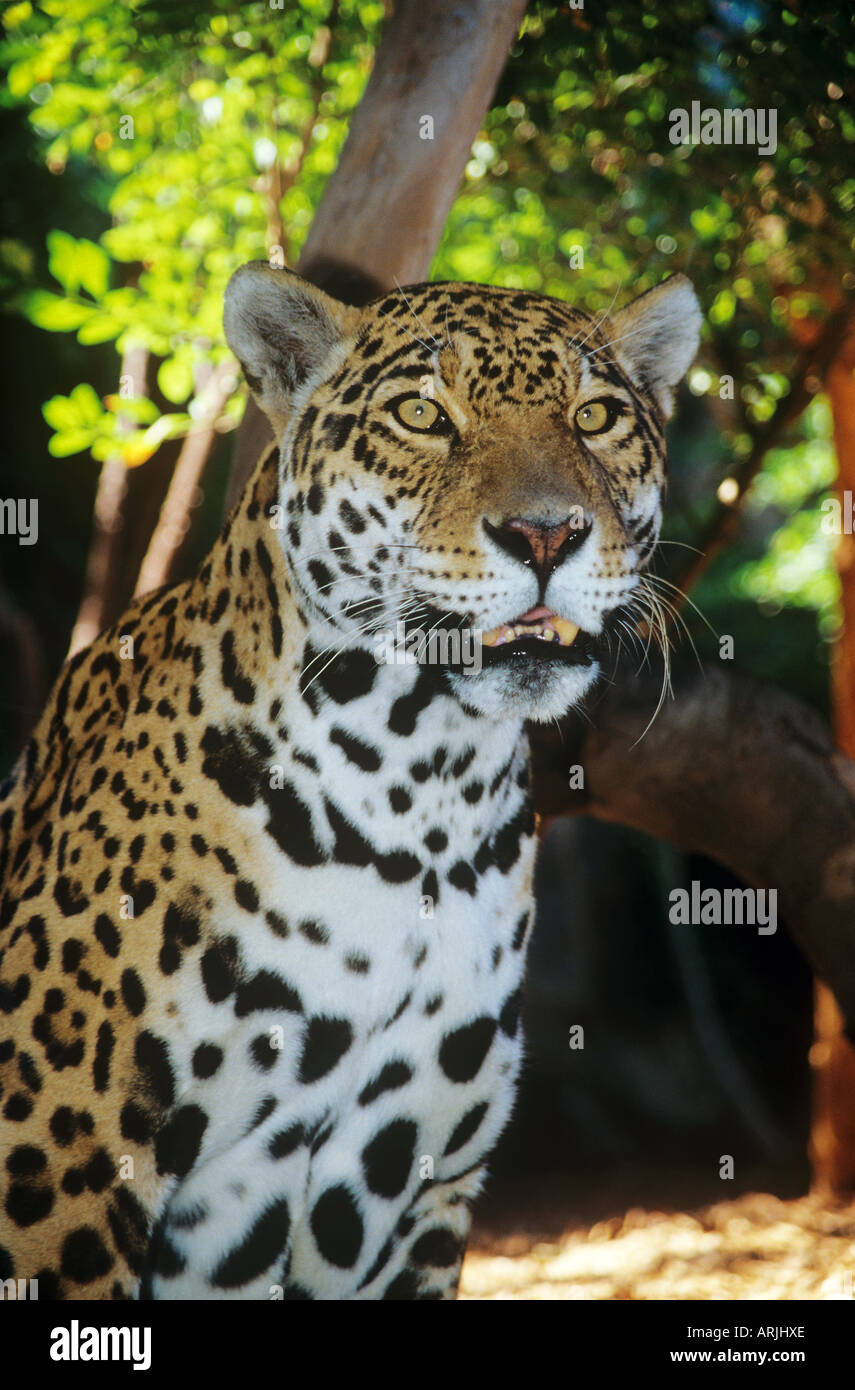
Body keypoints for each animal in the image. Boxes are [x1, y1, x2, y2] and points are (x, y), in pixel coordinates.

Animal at [0, 262, 700, 1299]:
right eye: (421, 414)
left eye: (596, 416)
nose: (546, 535)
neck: (422, 795)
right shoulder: (65, 1156)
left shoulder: (417, 1191)